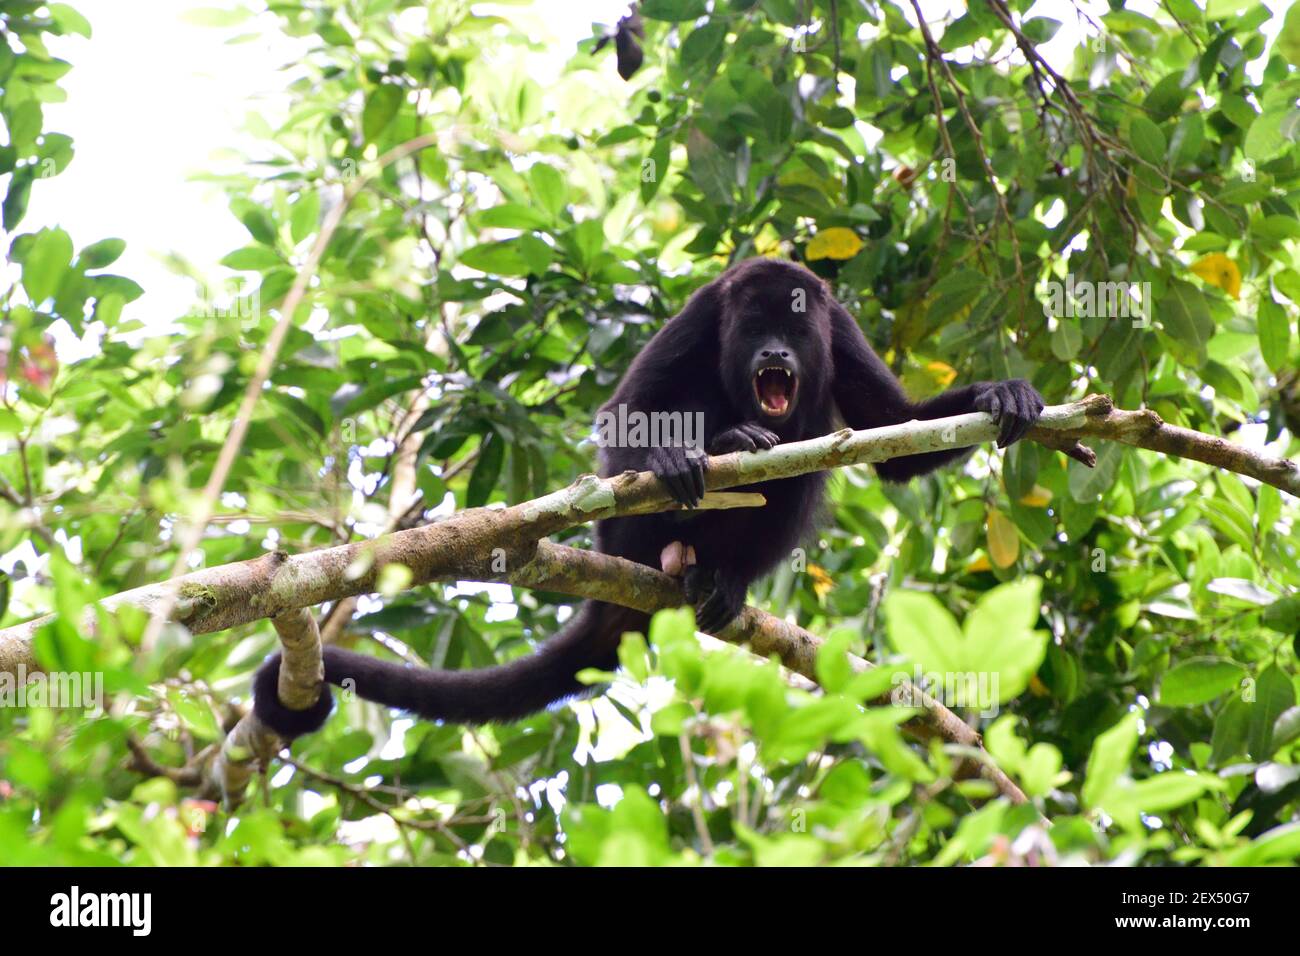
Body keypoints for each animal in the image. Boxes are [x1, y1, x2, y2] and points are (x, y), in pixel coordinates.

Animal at [253, 257, 1044, 738]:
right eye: (754, 328)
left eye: (793, 327)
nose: (774, 356)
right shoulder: (700, 315)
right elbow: (626, 410)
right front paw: (674, 452)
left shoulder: (840, 332)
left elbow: (893, 430)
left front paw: (999, 392)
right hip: (623, 543)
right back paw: (717, 457)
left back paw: (719, 579)